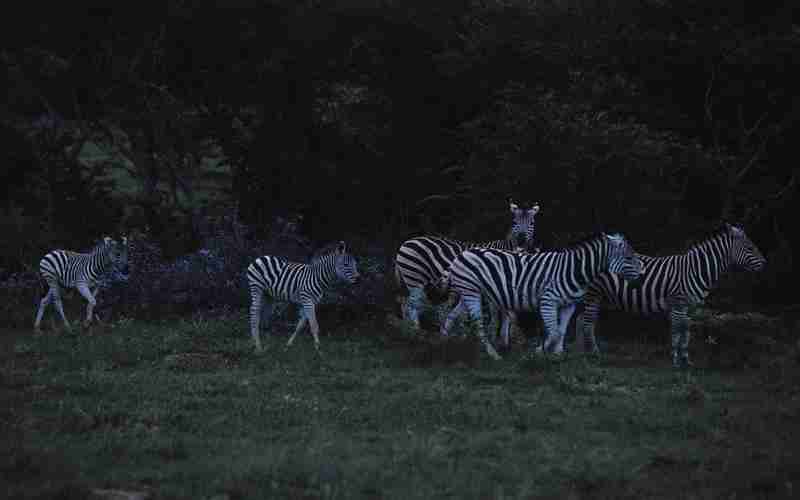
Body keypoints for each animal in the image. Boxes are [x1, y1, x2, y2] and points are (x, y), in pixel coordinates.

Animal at [392, 199, 536, 332]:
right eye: (514, 222)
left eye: (532, 223)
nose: (521, 240)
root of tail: (406, 242)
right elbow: (498, 316)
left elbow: (509, 316)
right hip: (414, 278)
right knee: (411, 304)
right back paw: (415, 330)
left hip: (412, 279)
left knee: (404, 301)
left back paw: (408, 329)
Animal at [432, 234, 644, 360]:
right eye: (628, 257)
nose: (642, 275)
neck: (574, 271)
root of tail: (462, 253)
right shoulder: (548, 301)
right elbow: (555, 332)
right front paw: (538, 352)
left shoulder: (569, 305)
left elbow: (562, 331)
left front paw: (558, 354)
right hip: (471, 293)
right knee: (478, 324)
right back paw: (493, 355)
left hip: (468, 292)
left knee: (451, 316)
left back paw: (443, 344)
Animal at [576, 223, 768, 368]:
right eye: (750, 247)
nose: (765, 264)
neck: (696, 270)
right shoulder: (678, 303)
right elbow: (676, 331)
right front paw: (675, 360)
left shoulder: (690, 307)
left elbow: (686, 332)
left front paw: (686, 360)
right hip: (593, 294)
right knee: (587, 322)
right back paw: (593, 353)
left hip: (597, 296)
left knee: (581, 320)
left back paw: (582, 352)